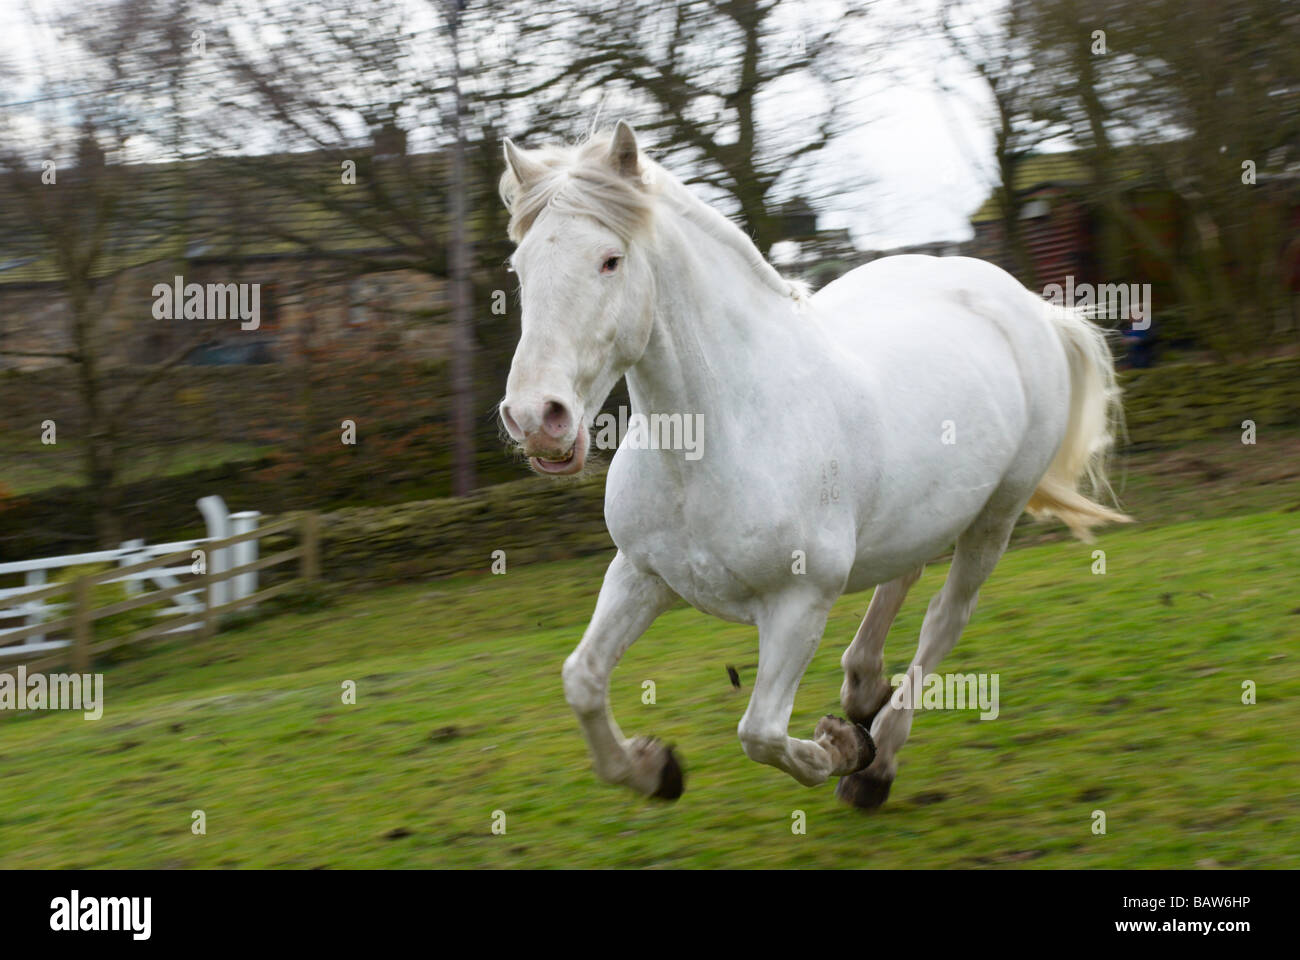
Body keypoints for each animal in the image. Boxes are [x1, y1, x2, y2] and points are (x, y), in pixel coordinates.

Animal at [496, 121, 1130, 808]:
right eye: (520, 269)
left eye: (610, 260)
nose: (536, 417)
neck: (712, 440)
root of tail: (1027, 304)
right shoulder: (641, 574)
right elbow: (581, 679)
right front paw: (653, 769)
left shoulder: (798, 604)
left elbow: (761, 734)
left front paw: (845, 748)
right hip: (922, 509)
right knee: (901, 575)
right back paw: (863, 689)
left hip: (997, 515)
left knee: (945, 617)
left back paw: (877, 762)